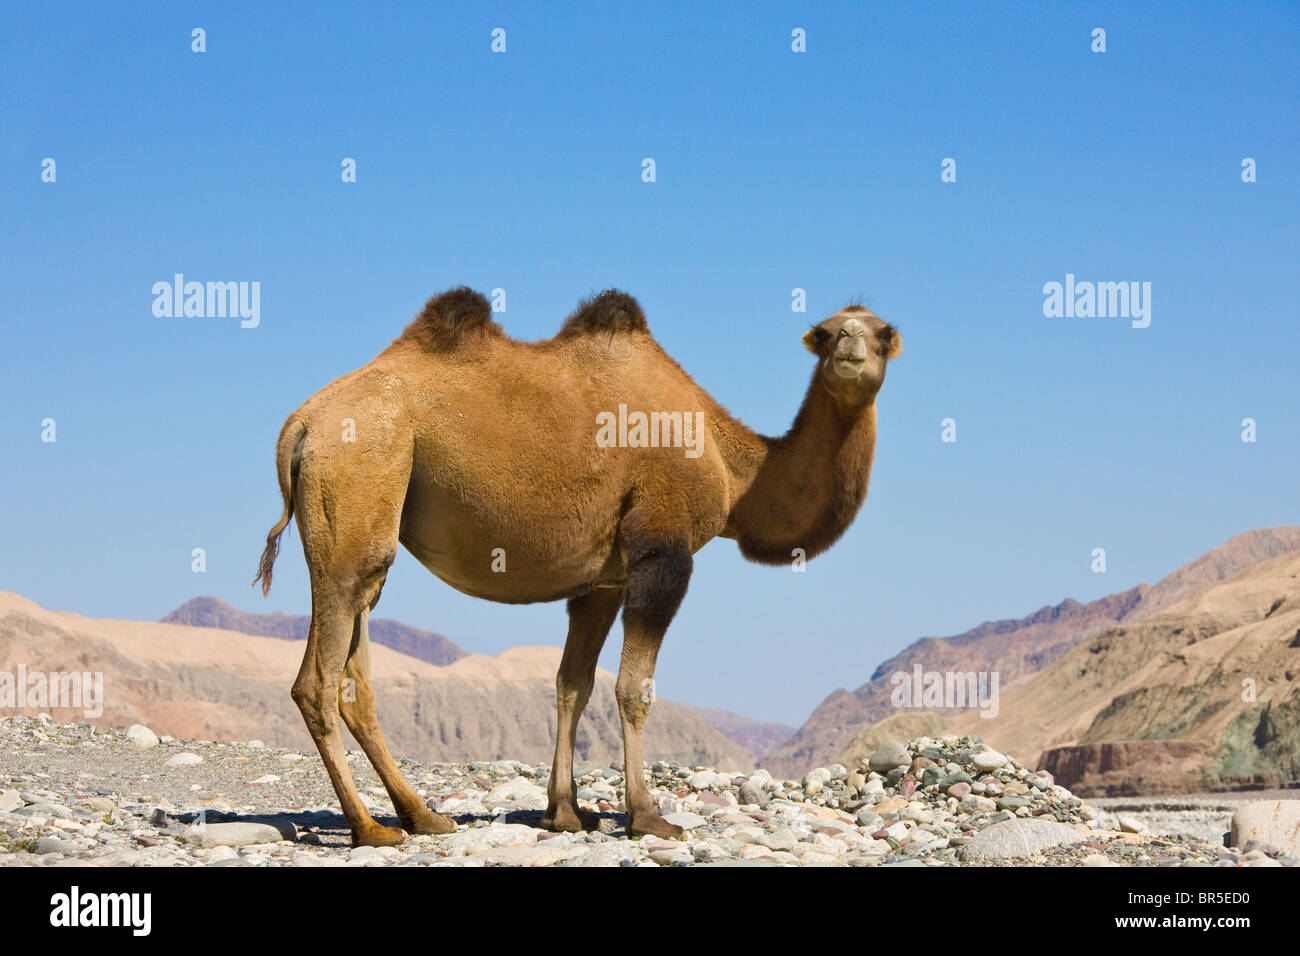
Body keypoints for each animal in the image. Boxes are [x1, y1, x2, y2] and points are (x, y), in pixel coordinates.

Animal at [255, 288, 901, 845]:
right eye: (825, 331)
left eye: (885, 332)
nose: (849, 343)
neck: (730, 464)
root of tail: (299, 426)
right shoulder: (661, 551)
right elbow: (633, 688)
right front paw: (646, 816)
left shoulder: (603, 580)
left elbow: (574, 683)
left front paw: (564, 812)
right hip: (359, 480)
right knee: (317, 680)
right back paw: (370, 829)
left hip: (367, 523)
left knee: (354, 676)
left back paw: (422, 817)